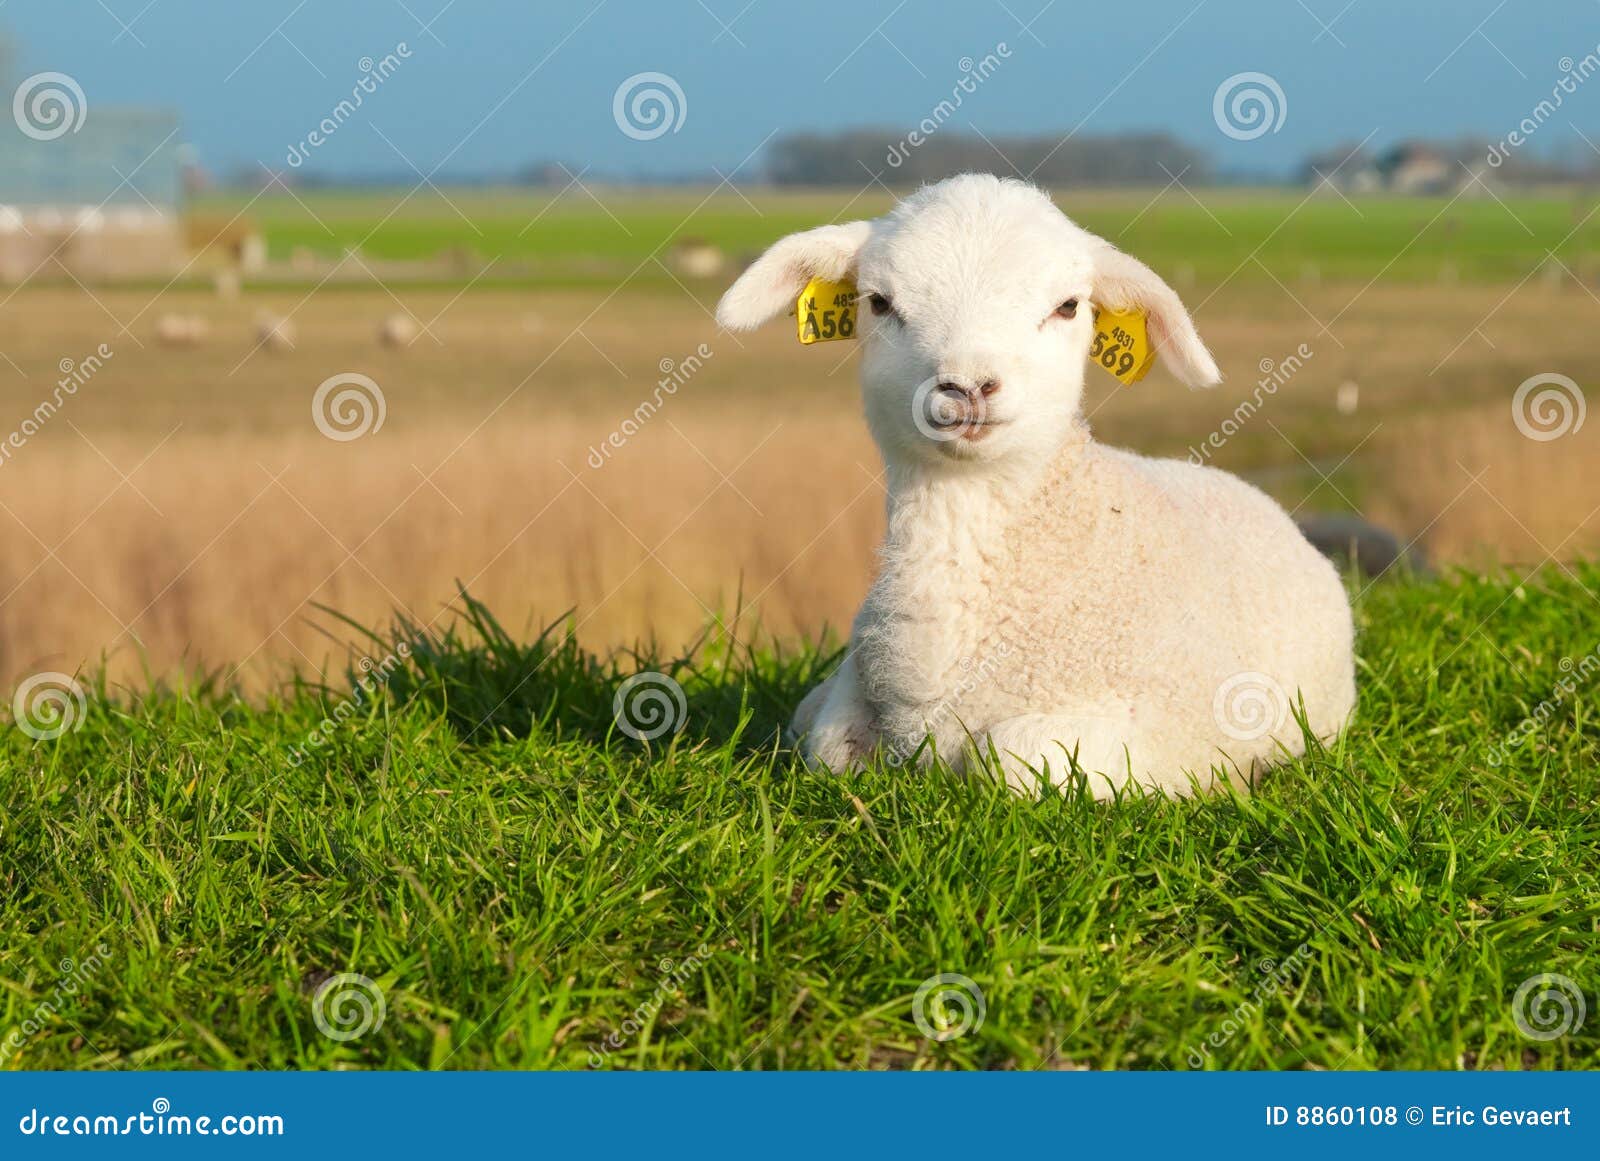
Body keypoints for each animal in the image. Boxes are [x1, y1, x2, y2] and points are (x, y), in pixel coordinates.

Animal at [715, 174, 1355, 799]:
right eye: (879, 302)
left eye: (1068, 306)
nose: (967, 386)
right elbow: (828, 748)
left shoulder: (1165, 733)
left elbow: (1006, 760)